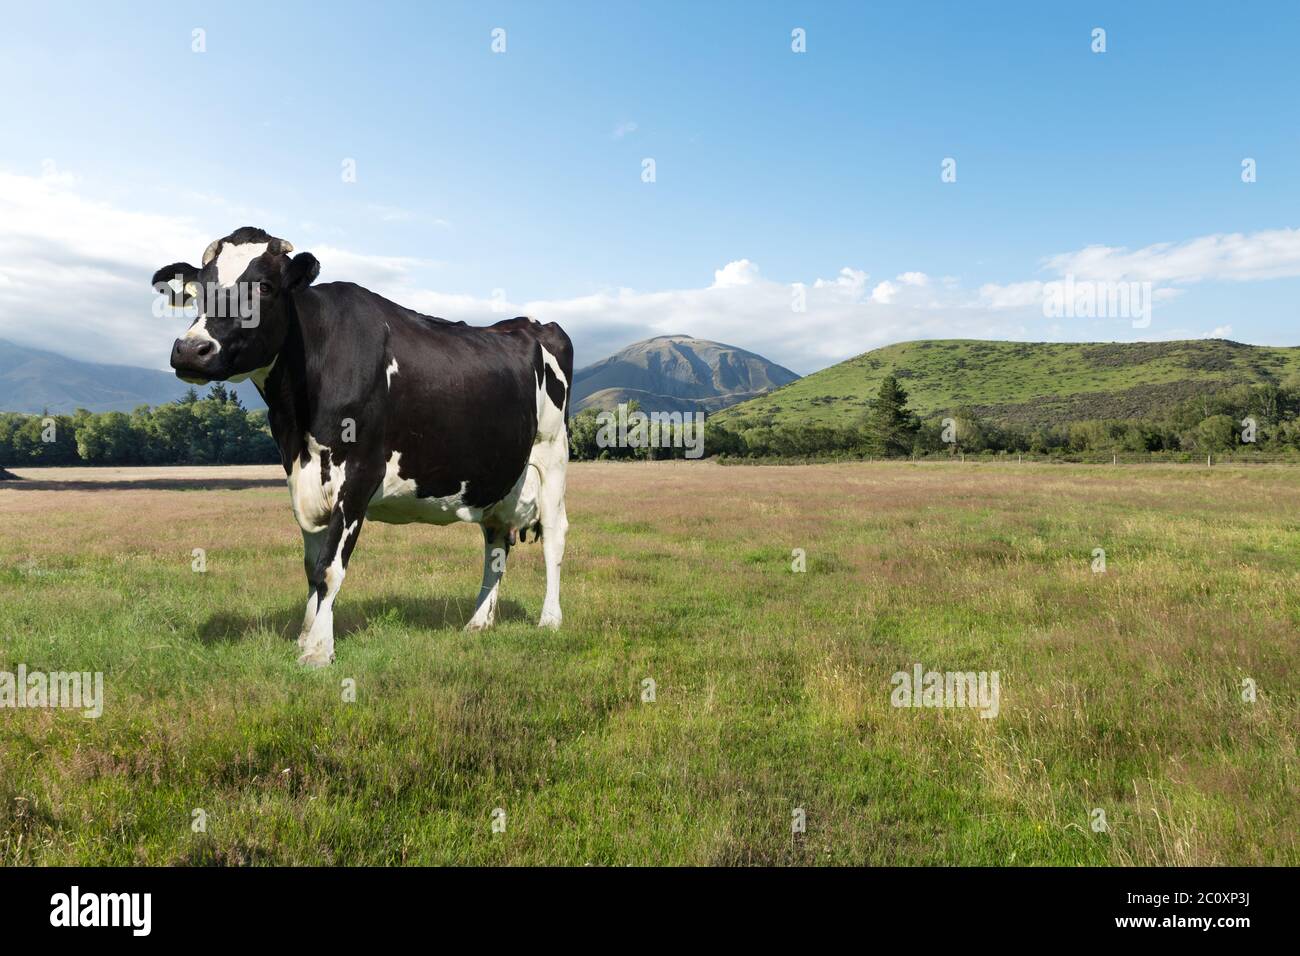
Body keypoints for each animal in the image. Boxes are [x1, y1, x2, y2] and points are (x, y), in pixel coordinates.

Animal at [153, 227, 573, 667]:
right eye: (199, 289)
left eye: (264, 286)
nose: (191, 349)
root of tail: (528, 323)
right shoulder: (299, 474)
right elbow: (311, 566)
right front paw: (305, 637)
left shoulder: (360, 473)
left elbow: (329, 568)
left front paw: (318, 651)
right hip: (498, 476)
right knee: (495, 540)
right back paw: (478, 623)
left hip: (552, 453)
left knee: (554, 534)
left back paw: (549, 620)